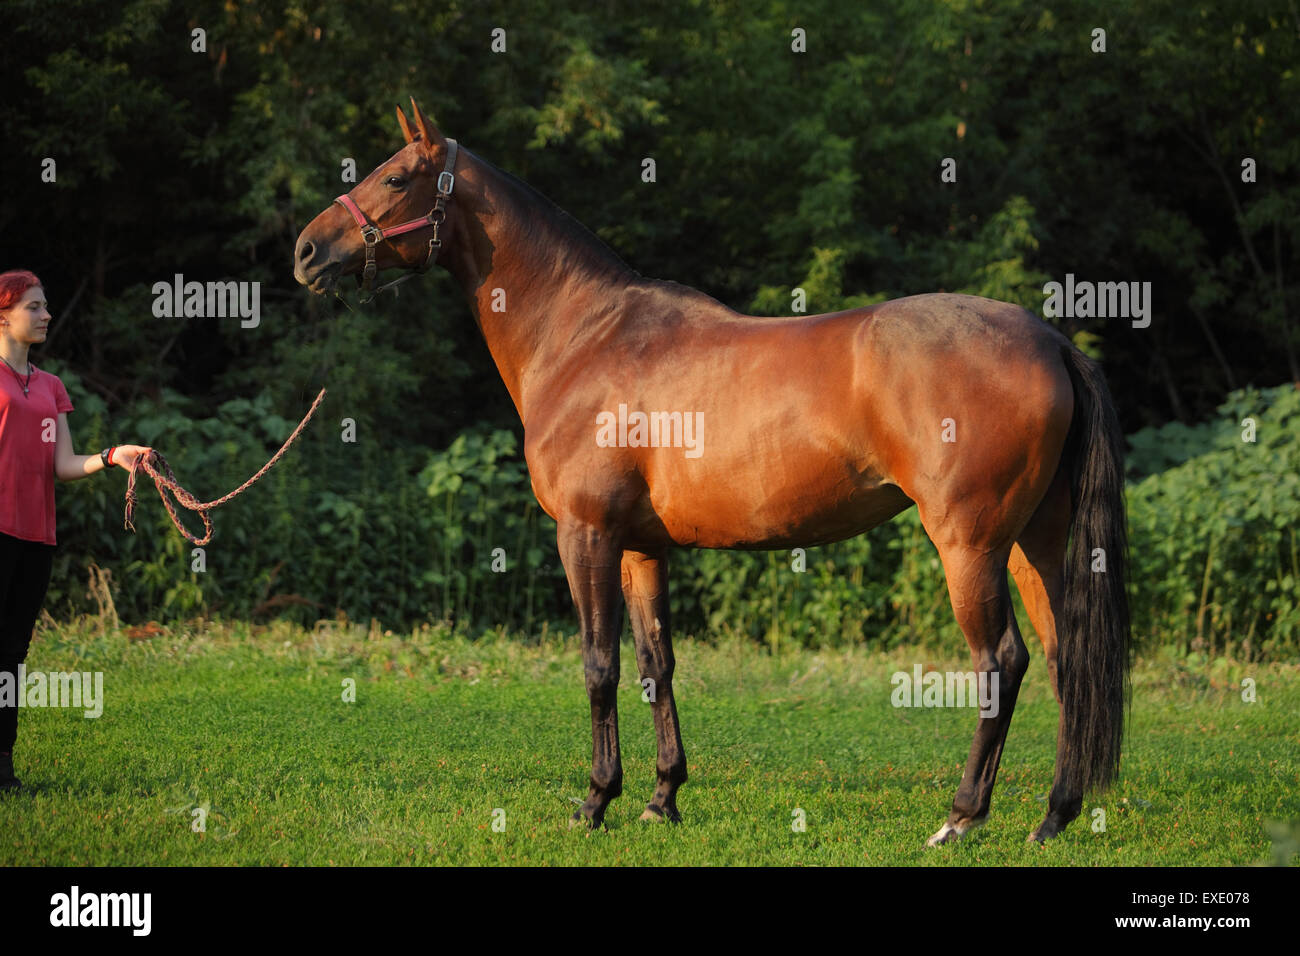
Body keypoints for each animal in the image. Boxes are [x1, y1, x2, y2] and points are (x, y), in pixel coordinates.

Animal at [293, 98, 1130, 845]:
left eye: (397, 176)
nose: (305, 251)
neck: (584, 336)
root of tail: (1049, 340)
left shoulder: (586, 535)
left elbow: (598, 665)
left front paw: (595, 802)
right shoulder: (641, 547)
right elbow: (655, 664)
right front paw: (661, 799)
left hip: (970, 545)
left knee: (1002, 663)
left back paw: (960, 818)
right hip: (1033, 544)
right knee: (1067, 659)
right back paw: (1052, 817)